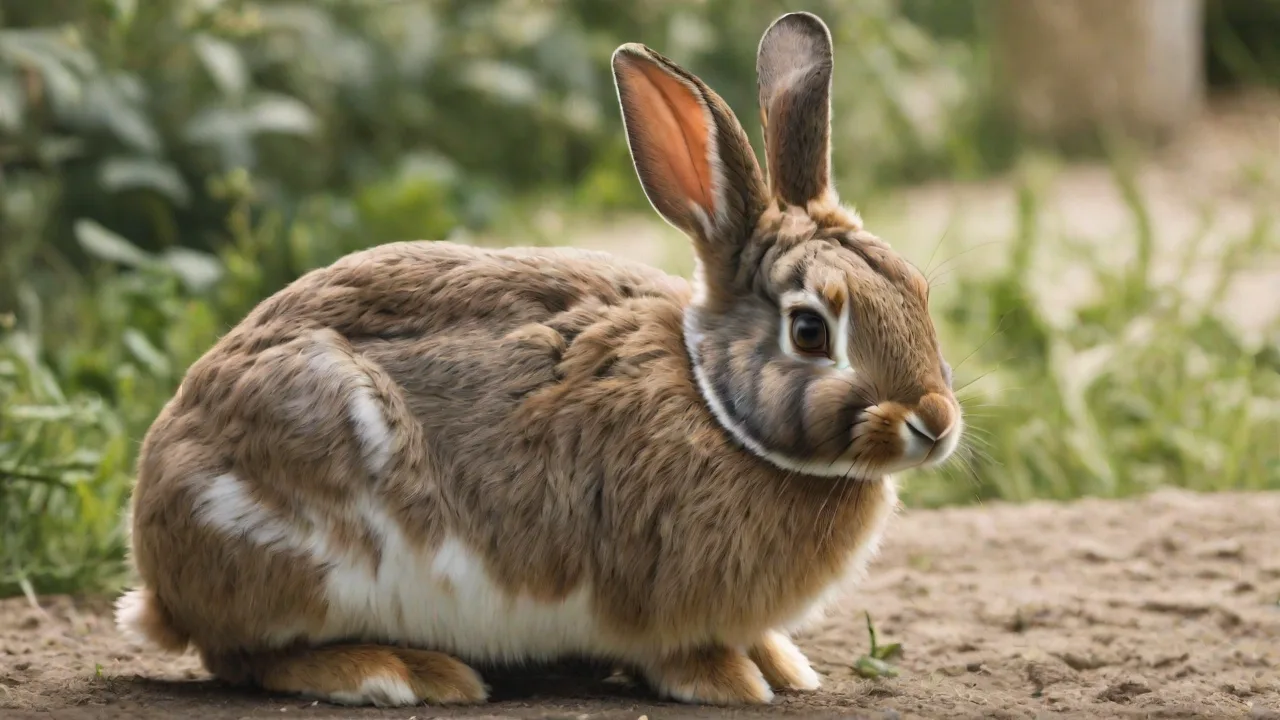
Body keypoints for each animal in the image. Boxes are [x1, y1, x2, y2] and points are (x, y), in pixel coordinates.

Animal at [114, 11, 963, 708]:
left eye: (918, 291)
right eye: (811, 331)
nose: (935, 423)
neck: (714, 403)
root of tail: (159, 575)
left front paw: (784, 665)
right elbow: (678, 654)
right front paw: (732, 680)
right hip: (307, 538)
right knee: (249, 658)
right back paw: (402, 673)